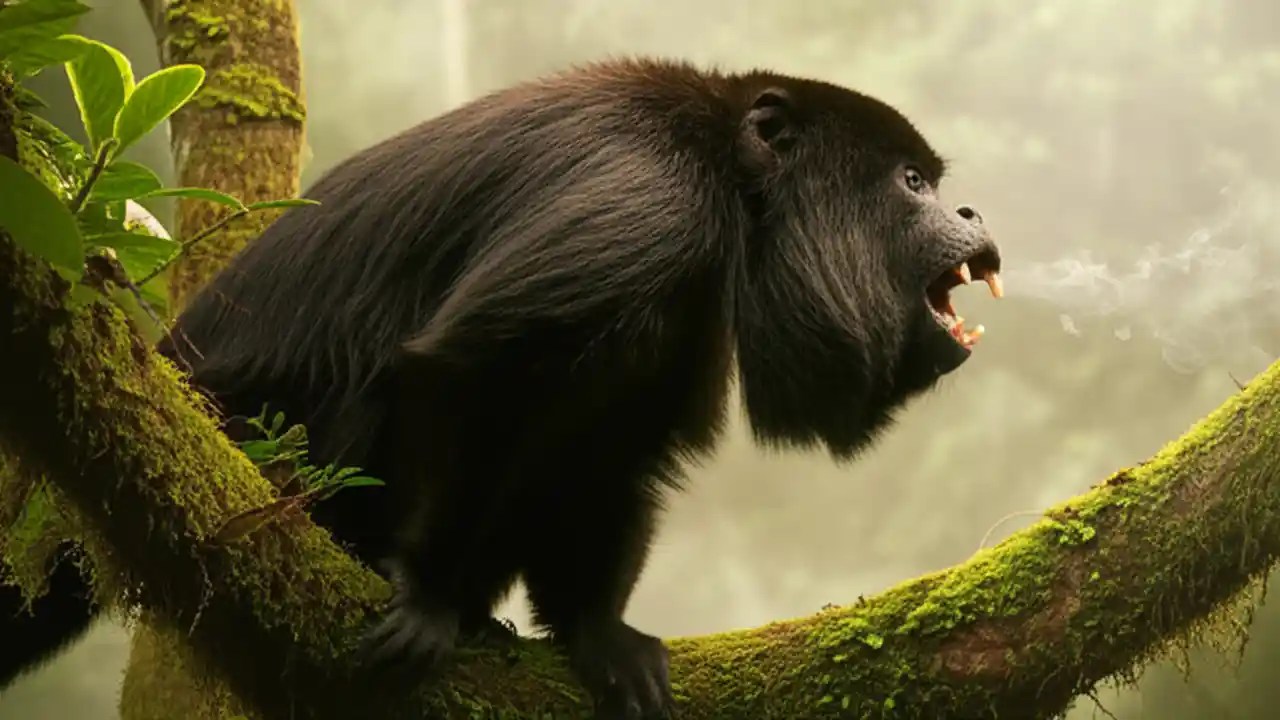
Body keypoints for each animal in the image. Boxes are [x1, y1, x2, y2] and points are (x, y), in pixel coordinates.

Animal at [0, 58, 1001, 719]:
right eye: (912, 182)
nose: (971, 209)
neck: (734, 179)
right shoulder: (647, 199)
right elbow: (469, 367)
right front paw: (431, 602)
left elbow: (614, 452)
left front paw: (597, 631)